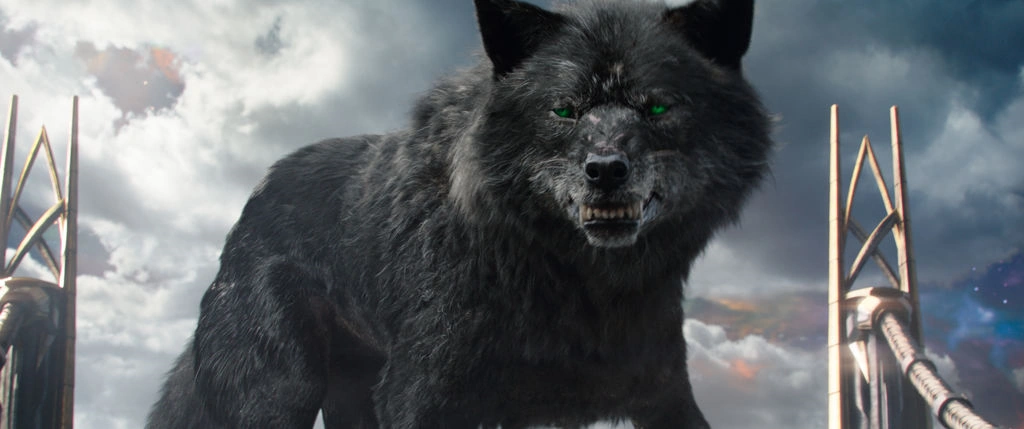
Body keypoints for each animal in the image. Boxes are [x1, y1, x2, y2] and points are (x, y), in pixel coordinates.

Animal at [146, 0, 772, 428]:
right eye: (565, 111)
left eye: (658, 107)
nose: (605, 169)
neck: (576, 284)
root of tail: (253, 200)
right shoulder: (423, 397)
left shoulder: (660, 391)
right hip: (278, 396)